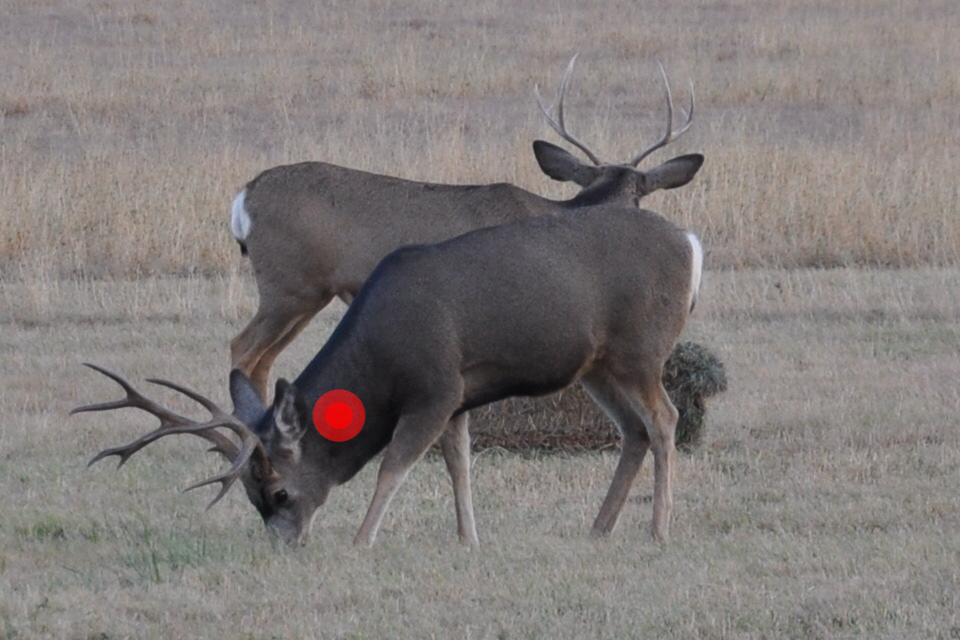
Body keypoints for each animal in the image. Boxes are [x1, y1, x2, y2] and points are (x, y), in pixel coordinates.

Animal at [74, 155, 705, 547]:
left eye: (278, 491)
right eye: (253, 499)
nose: (286, 542)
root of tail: (691, 243)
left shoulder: (439, 385)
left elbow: (394, 464)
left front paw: (362, 539)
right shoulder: (455, 392)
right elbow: (457, 460)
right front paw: (468, 538)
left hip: (640, 351)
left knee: (666, 419)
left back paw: (659, 530)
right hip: (600, 365)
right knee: (635, 429)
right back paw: (600, 528)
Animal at [230, 55, 696, 401]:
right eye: (639, 198)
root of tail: (245, 194)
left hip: (308, 293)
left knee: (263, 360)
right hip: (288, 285)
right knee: (242, 349)